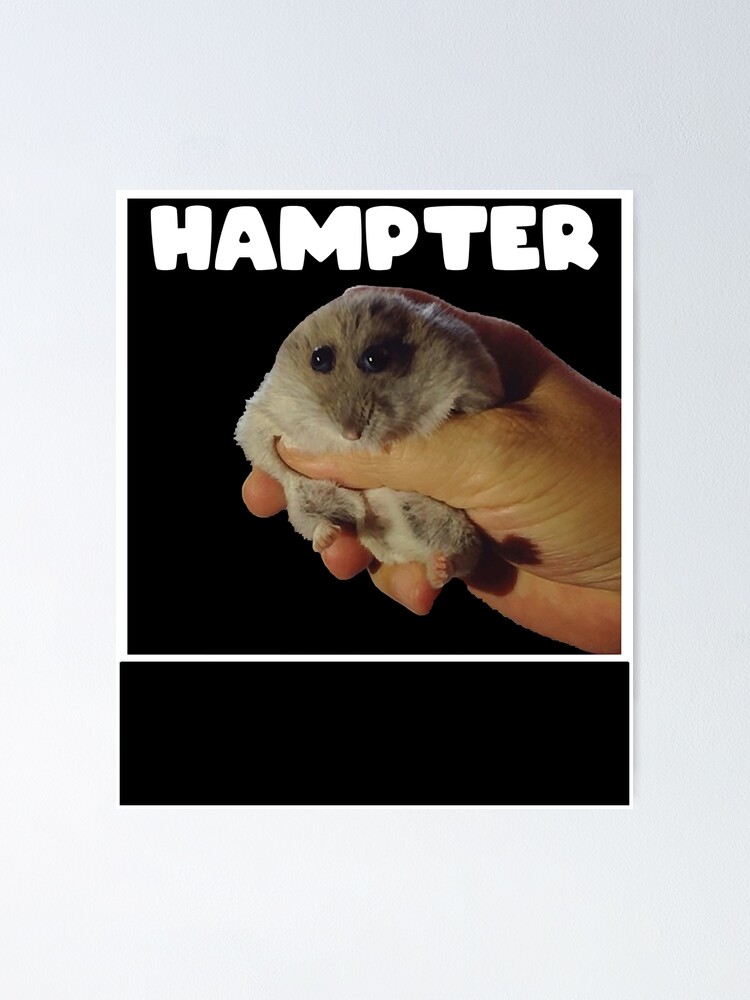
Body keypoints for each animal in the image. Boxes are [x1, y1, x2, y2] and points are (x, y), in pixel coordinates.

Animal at [234, 290, 504, 588]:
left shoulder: (472, 369)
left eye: (375, 358)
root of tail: (397, 549)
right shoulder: (259, 417)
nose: (352, 435)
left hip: (450, 522)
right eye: (319, 359)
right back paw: (330, 534)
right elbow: (266, 450)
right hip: (305, 502)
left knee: (461, 557)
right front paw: (290, 449)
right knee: (315, 522)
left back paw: (439, 567)